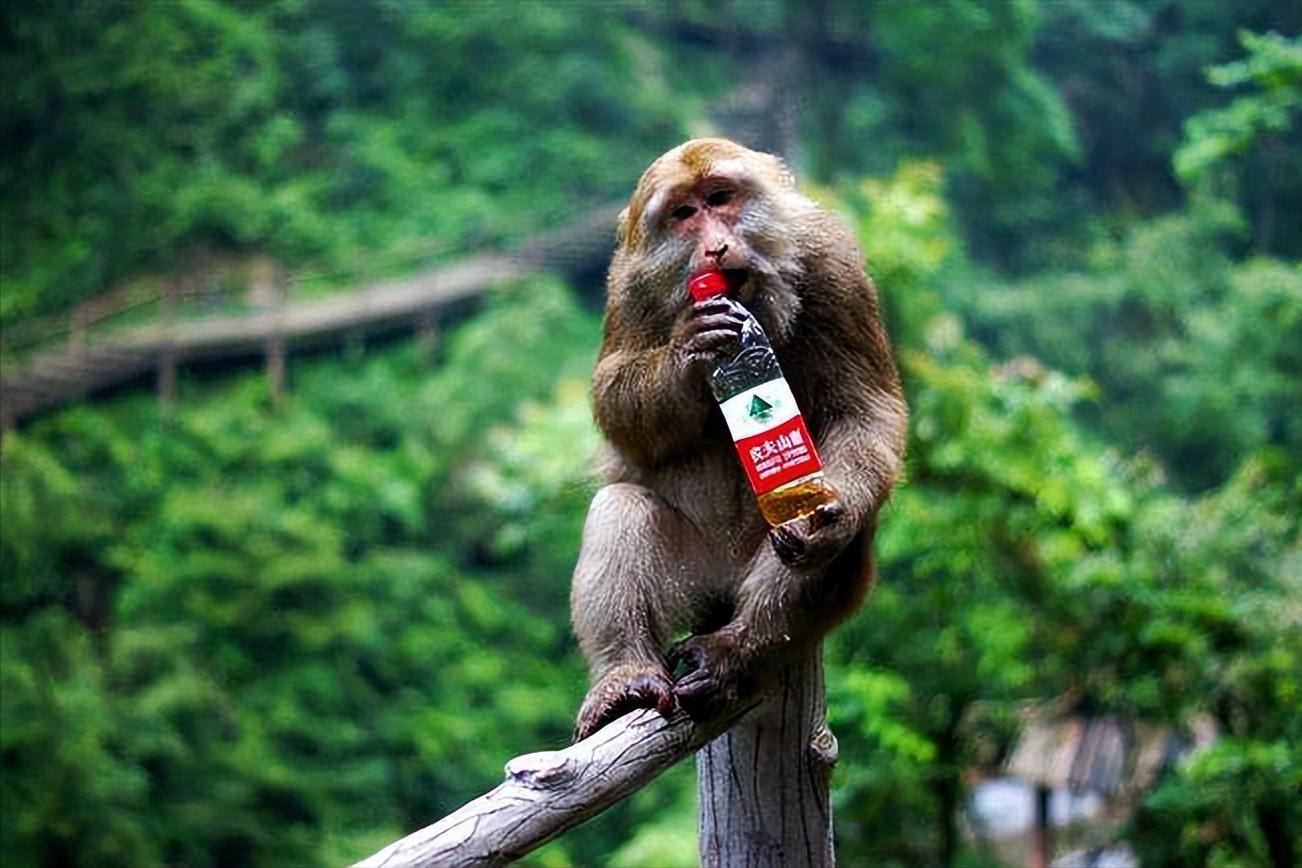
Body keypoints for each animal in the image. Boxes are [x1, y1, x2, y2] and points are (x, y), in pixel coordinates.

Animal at [571, 138, 907, 740]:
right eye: (685, 213)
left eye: (720, 198)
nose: (716, 246)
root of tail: (722, 591)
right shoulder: (627, 282)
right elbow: (614, 399)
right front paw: (691, 350)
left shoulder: (833, 260)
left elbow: (866, 411)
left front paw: (827, 521)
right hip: (693, 575)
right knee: (621, 507)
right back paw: (624, 680)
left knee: (818, 548)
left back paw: (737, 648)